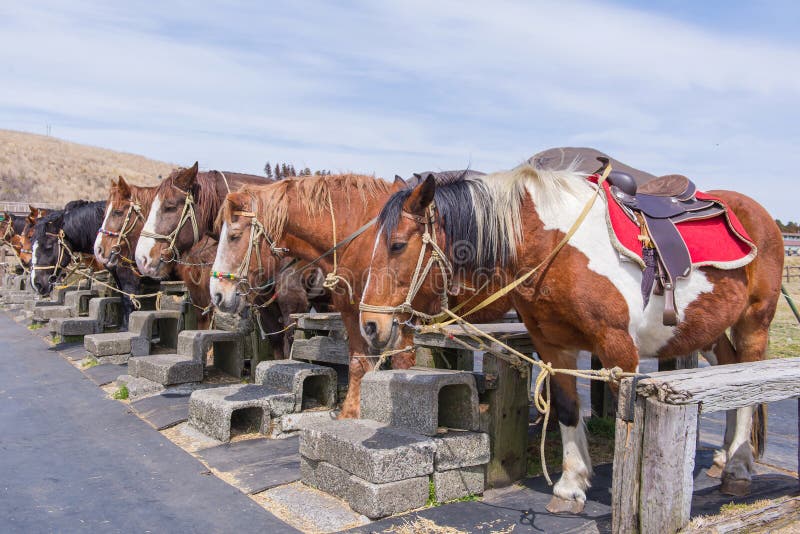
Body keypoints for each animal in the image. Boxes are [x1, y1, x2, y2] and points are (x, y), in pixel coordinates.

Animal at [210, 172, 512, 417]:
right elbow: (357, 363)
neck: (362, 241)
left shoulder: (397, 315)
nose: (217, 294)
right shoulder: (353, 311)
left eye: (234, 236)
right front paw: (351, 413)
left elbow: (401, 361)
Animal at [359, 160, 784, 511]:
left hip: (754, 323)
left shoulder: (618, 351)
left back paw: (738, 468)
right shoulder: (553, 346)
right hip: (710, 332)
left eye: (397, 244)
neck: (551, 245)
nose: (370, 325)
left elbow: (628, 423)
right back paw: (725, 456)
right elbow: (566, 409)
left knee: (750, 384)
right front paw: (571, 485)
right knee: (732, 374)